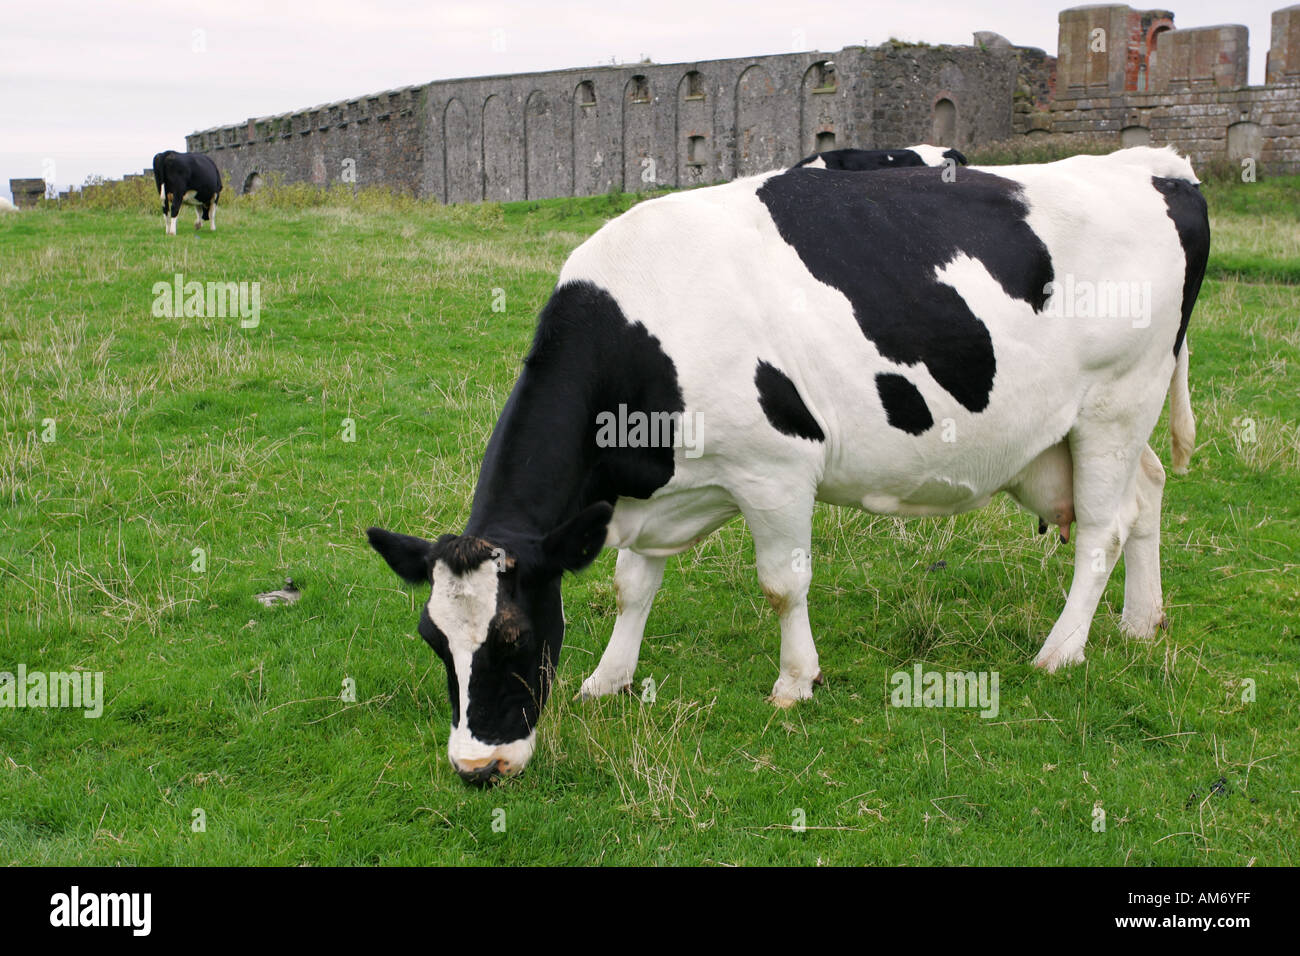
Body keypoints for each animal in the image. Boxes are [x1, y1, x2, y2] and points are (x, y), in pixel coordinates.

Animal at [367, 146, 1208, 786]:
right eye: (435, 641)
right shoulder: (649, 492)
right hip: (1075, 431)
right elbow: (632, 585)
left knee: (1102, 531)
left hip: (1116, 402)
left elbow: (782, 584)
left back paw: (1061, 651)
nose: (478, 767)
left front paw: (795, 683)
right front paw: (609, 678)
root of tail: (1152, 164)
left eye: (512, 637)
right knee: (1149, 493)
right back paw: (1141, 623)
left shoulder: (775, 470)